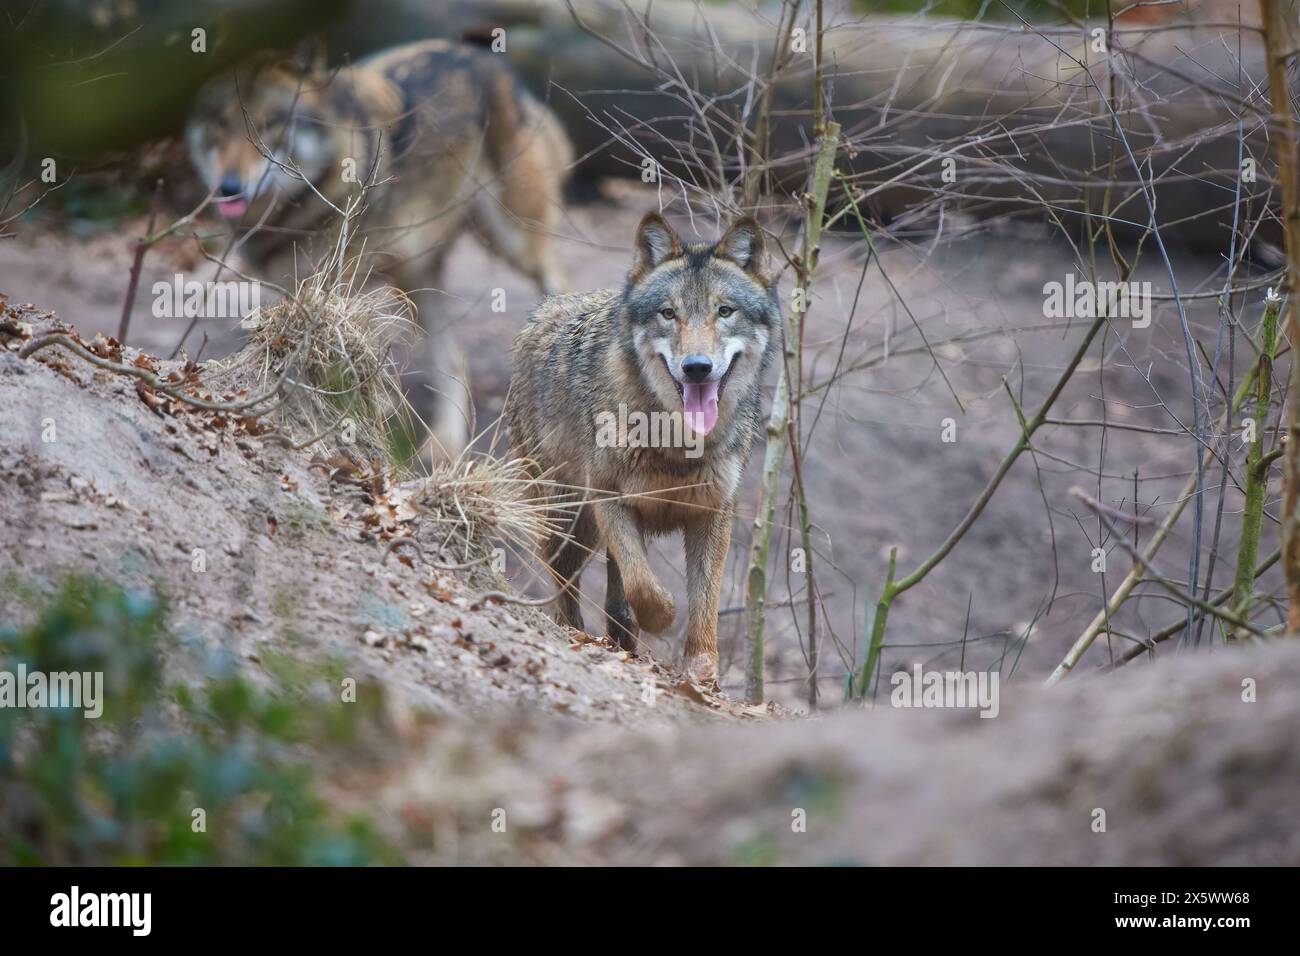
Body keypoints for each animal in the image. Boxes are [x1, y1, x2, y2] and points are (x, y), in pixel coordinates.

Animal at [186, 38, 572, 455]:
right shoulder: (294, 289)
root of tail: (477, 50)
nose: (229, 187)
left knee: (556, 280)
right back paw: (444, 446)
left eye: (272, 123)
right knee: (455, 359)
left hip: (513, 240)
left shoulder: (337, 287)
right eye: (221, 124)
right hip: (419, 277)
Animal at [507, 213, 781, 685]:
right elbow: (643, 586)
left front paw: (702, 675)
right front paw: (664, 616)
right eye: (668, 313)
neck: (676, 443)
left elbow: (705, 605)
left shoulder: (713, 512)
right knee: (567, 587)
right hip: (569, 519)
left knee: (614, 595)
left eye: (724, 311)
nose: (697, 367)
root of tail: (544, 308)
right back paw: (576, 631)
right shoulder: (610, 499)